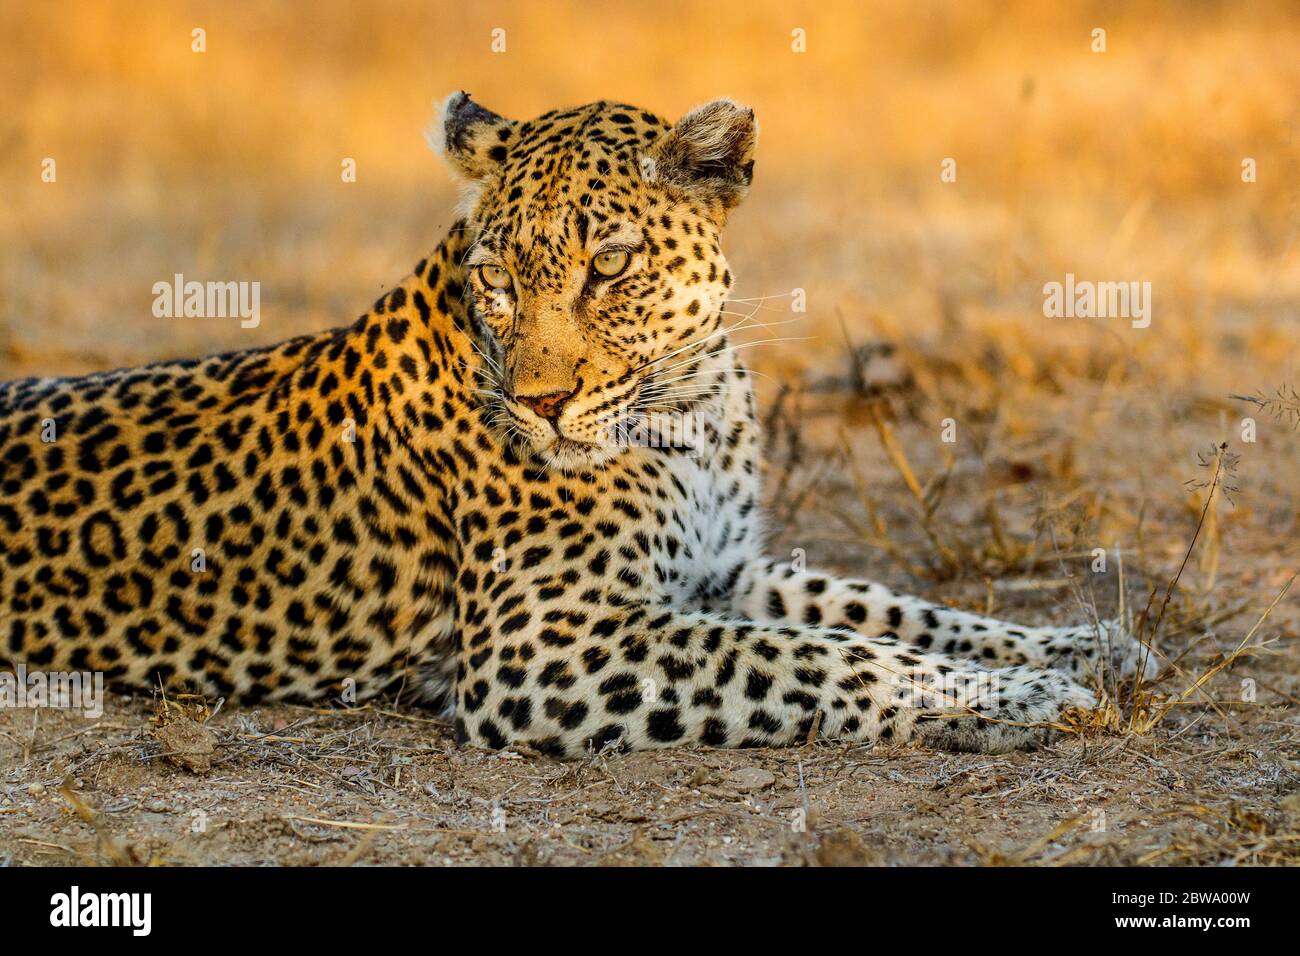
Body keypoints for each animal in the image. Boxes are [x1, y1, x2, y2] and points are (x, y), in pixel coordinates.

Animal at [0, 93, 1161, 756]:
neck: (691, 403)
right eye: (498, 277)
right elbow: (829, 656)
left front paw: (1086, 643)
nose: (542, 403)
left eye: (608, 264)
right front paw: (1032, 694)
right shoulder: (549, 646)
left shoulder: (718, 573)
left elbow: (886, 611)